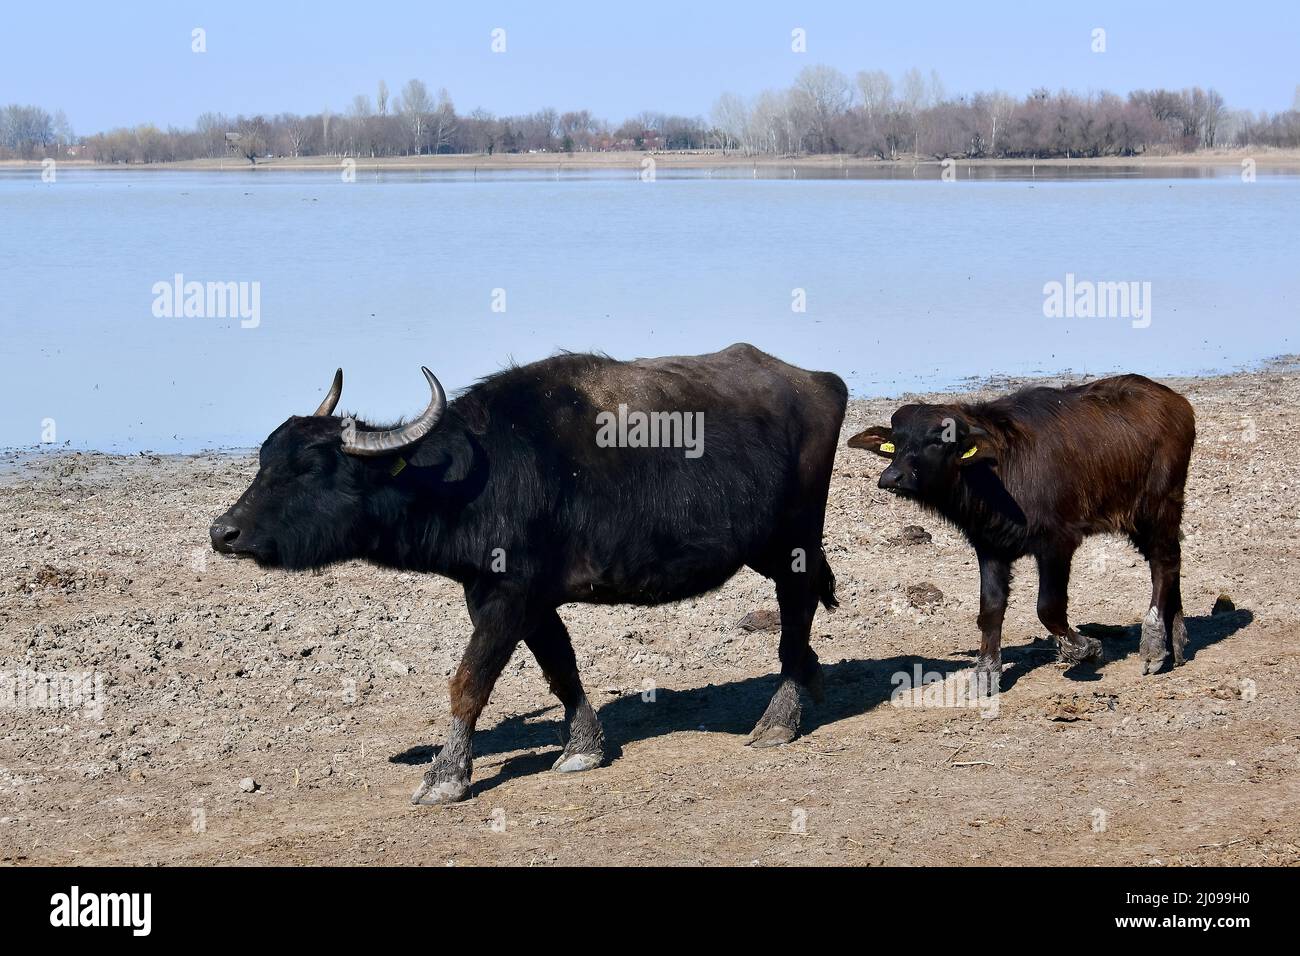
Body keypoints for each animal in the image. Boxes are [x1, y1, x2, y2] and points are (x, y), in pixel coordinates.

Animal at [211, 344, 847, 804]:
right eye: (264, 458)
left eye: (310, 469)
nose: (223, 532)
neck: (480, 475)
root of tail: (820, 381)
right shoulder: (520, 599)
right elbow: (560, 668)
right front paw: (584, 747)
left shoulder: (509, 598)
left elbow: (470, 682)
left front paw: (445, 776)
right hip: (768, 548)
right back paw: (811, 682)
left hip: (794, 543)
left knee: (795, 619)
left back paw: (779, 719)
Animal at [848, 374, 1195, 690]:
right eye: (897, 440)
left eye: (938, 439)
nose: (892, 478)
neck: (995, 472)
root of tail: (1177, 403)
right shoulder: (990, 546)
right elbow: (990, 608)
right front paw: (986, 671)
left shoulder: (1057, 542)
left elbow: (1049, 608)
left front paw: (1084, 648)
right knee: (1170, 560)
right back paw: (1175, 639)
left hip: (1158, 505)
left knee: (1164, 563)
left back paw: (1153, 646)